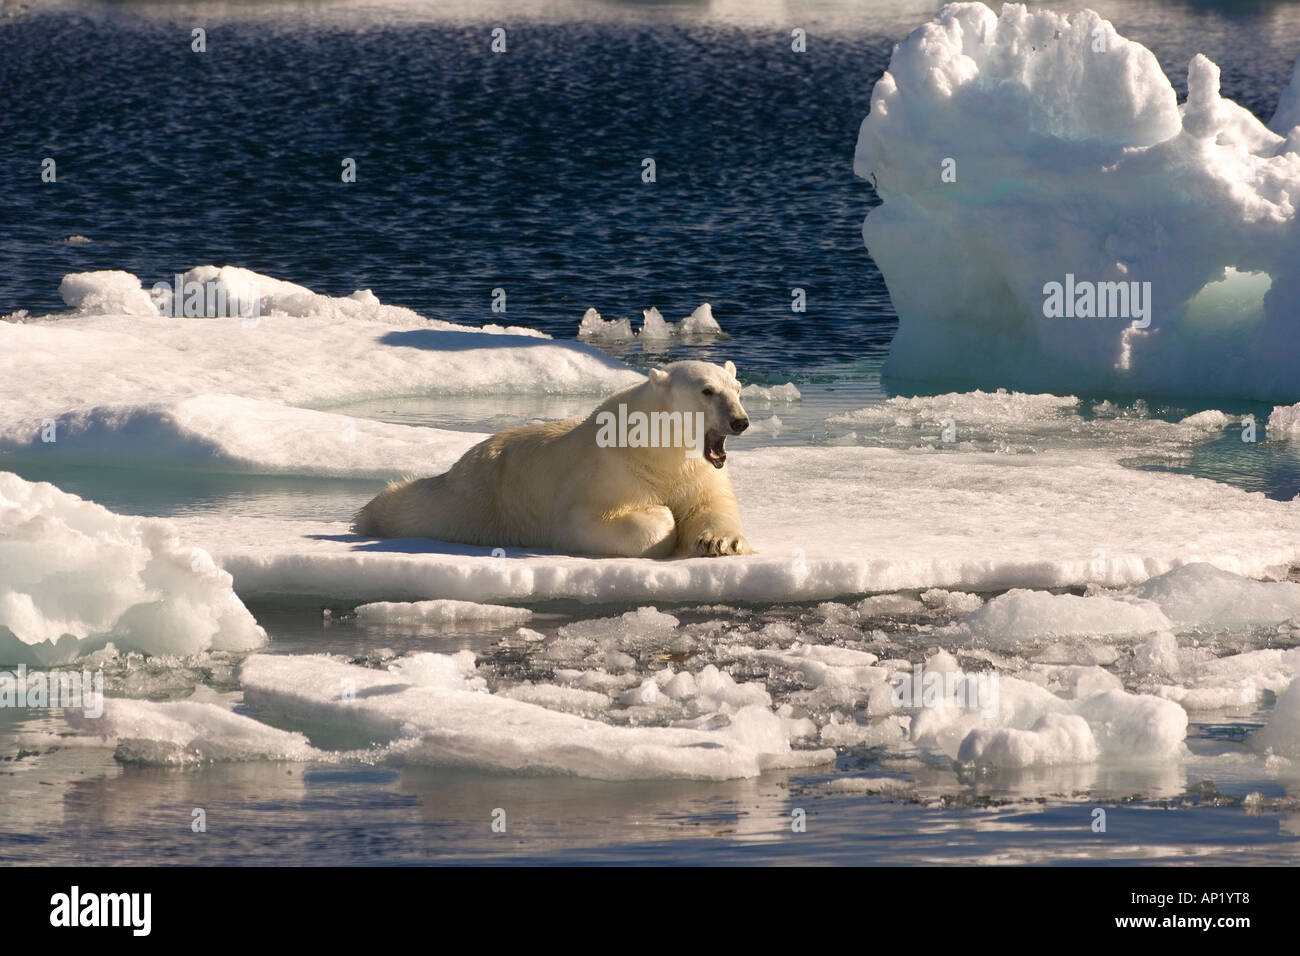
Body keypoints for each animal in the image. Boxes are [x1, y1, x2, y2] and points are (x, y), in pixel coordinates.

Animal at [351, 359, 754, 558]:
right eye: (707, 390)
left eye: (737, 388)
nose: (740, 421)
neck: (659, 449)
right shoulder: (609, 471)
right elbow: (590, 521)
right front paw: (661, 514)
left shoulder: (698, 472)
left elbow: (713, 505)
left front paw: (719, 542)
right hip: (474, 499)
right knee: (418, 506)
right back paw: (368, 517)